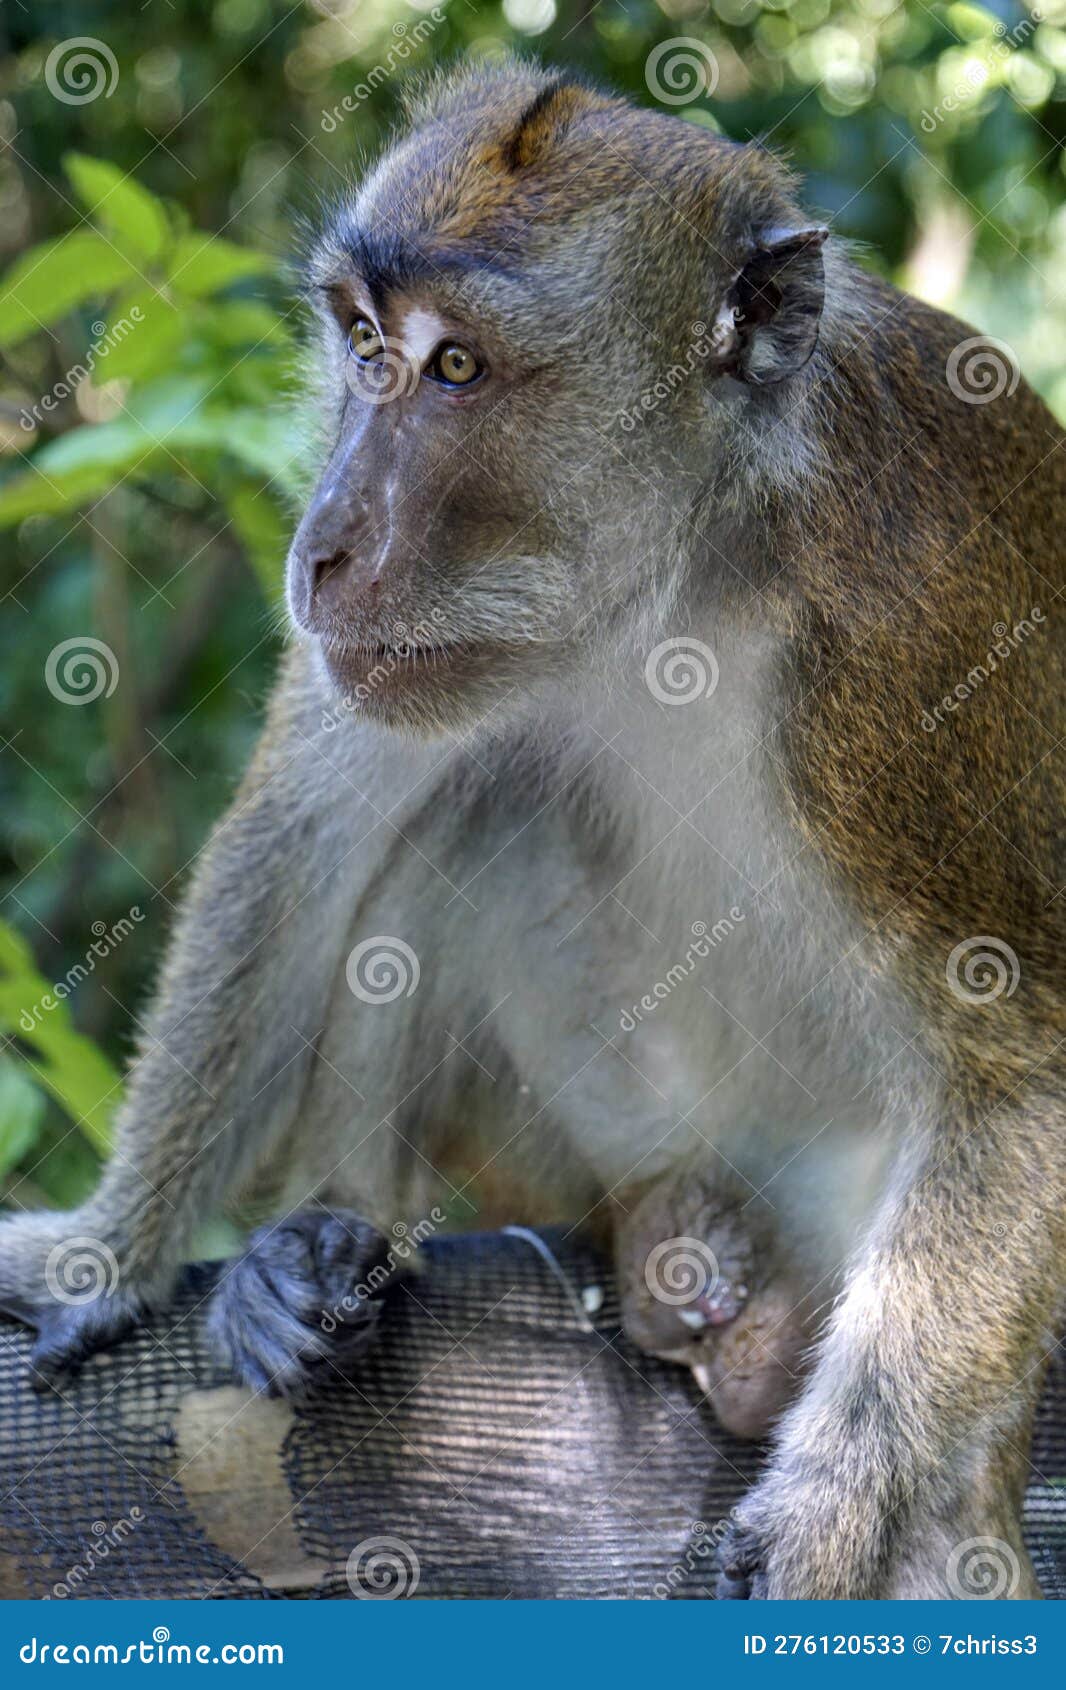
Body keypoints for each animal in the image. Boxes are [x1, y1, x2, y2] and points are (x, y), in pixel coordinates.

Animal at [1, 59, 1063, 1601]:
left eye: (460, 369)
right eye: (364, 346)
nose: (322, 544)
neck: (687, 567)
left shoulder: (903, 636)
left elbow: (1014, 1060)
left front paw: (831, 1509)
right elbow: (303, 841)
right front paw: (101, 1256)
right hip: (607, 1144)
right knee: (471, 816)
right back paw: (329, 1241)